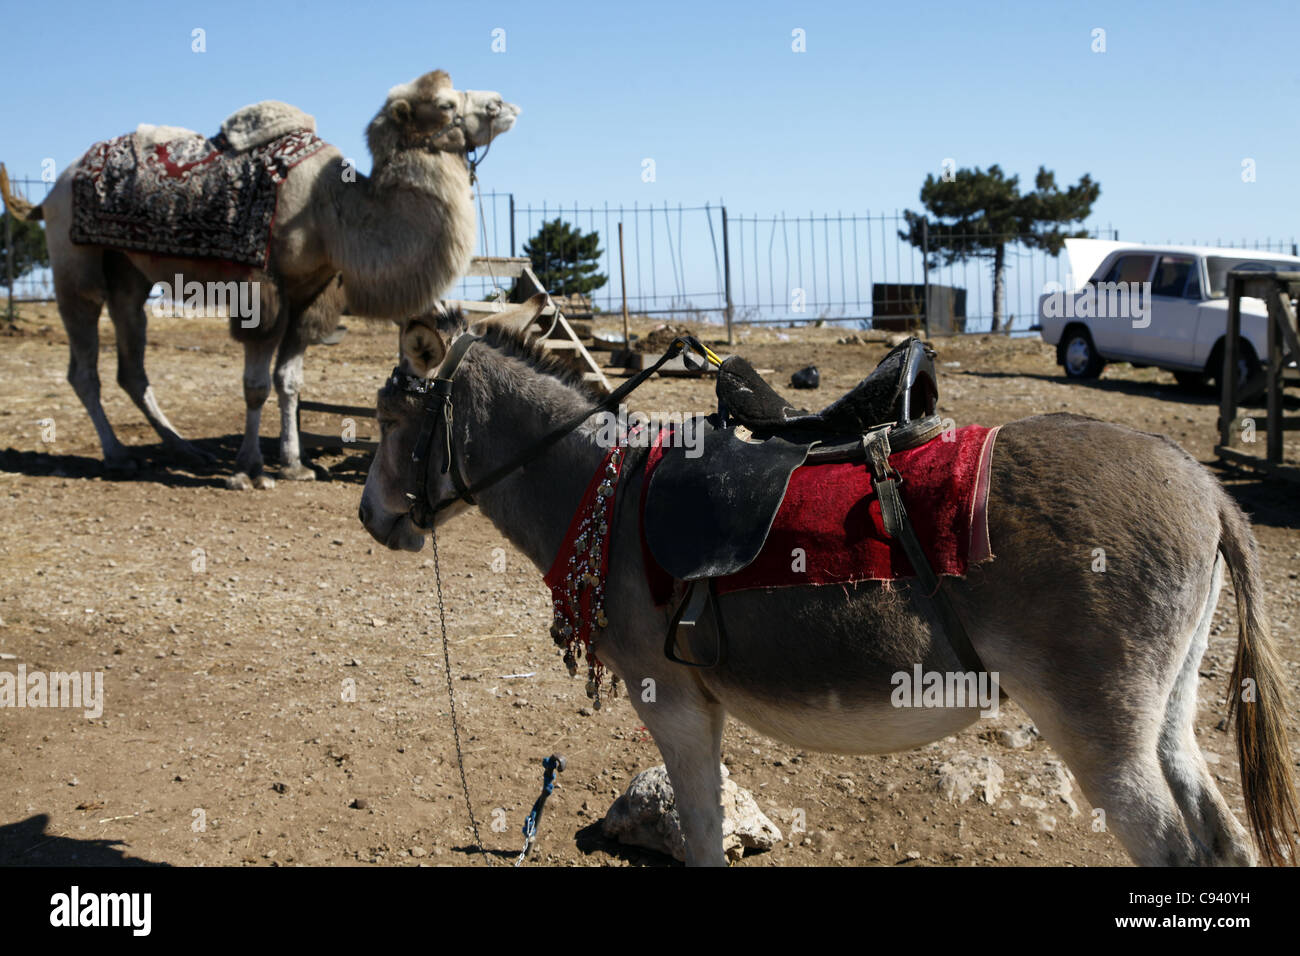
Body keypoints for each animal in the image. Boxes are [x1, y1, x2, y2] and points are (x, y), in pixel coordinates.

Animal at [2, 70, 518, 489]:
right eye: (447, 104)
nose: (504, 104)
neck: (334, 212)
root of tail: (48, 193)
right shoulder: (262, 288)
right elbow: (257, 384)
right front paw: (249, 470)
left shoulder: (310, 294)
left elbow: (289, 381)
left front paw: (294, 464)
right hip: (75, 267)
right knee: (83, 367)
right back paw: (117, 456)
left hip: (128, 277)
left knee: (131, 367)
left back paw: (187, 449)